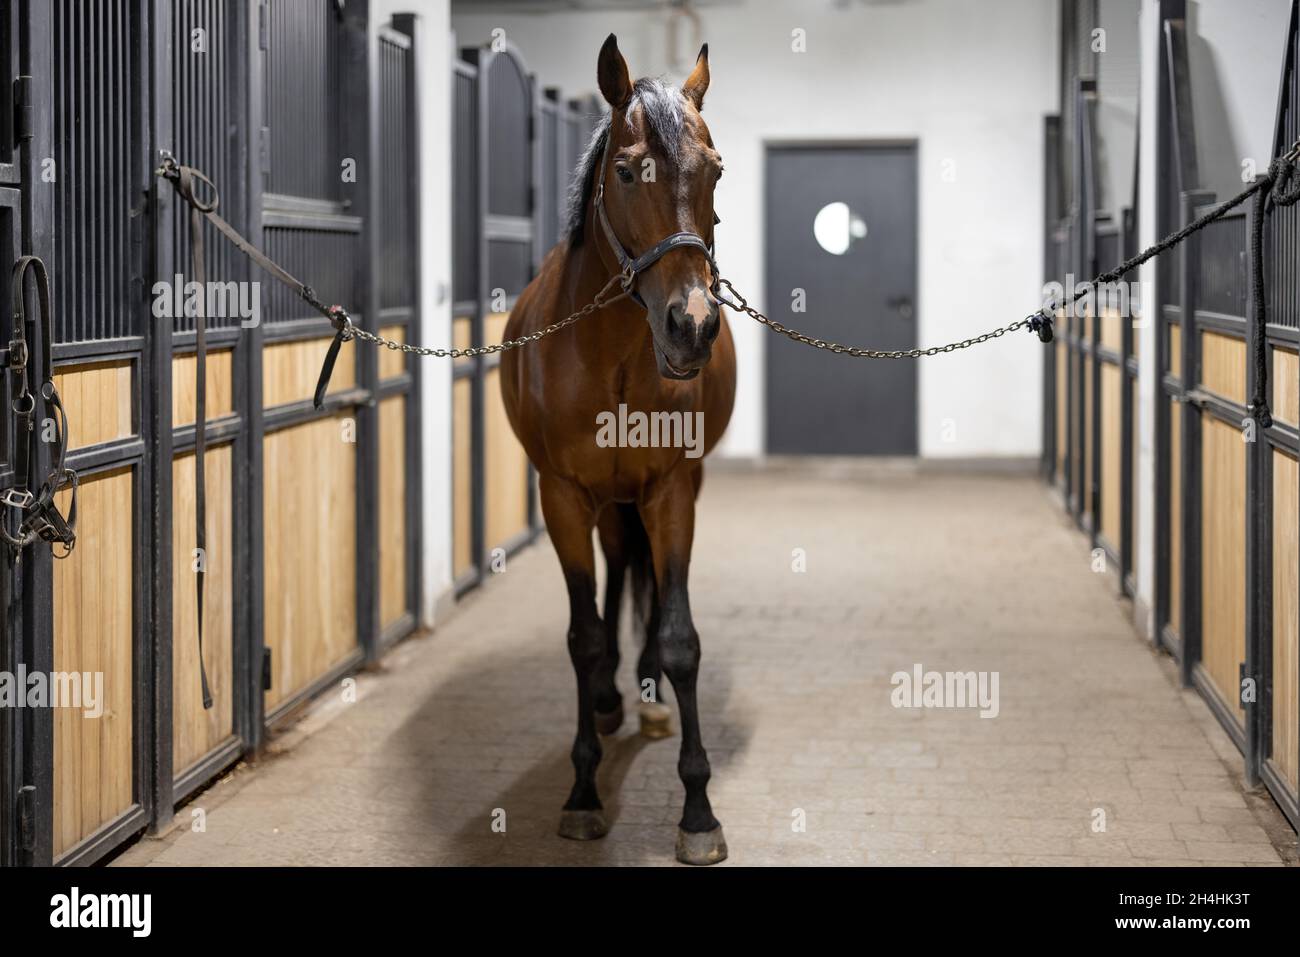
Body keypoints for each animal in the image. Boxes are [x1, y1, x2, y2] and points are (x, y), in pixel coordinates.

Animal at [500, 34, 736, 865]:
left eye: (716, 169)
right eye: (630, 171)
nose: (692, 327)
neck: (611, 355)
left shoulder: (672, 489)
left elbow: (679, 636)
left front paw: (697, 809)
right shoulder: (562, 495)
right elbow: (582, 636)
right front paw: (581, 791)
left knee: (644, 577)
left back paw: (646, 696)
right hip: (601, 502)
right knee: (610, 579)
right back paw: (606, 703)